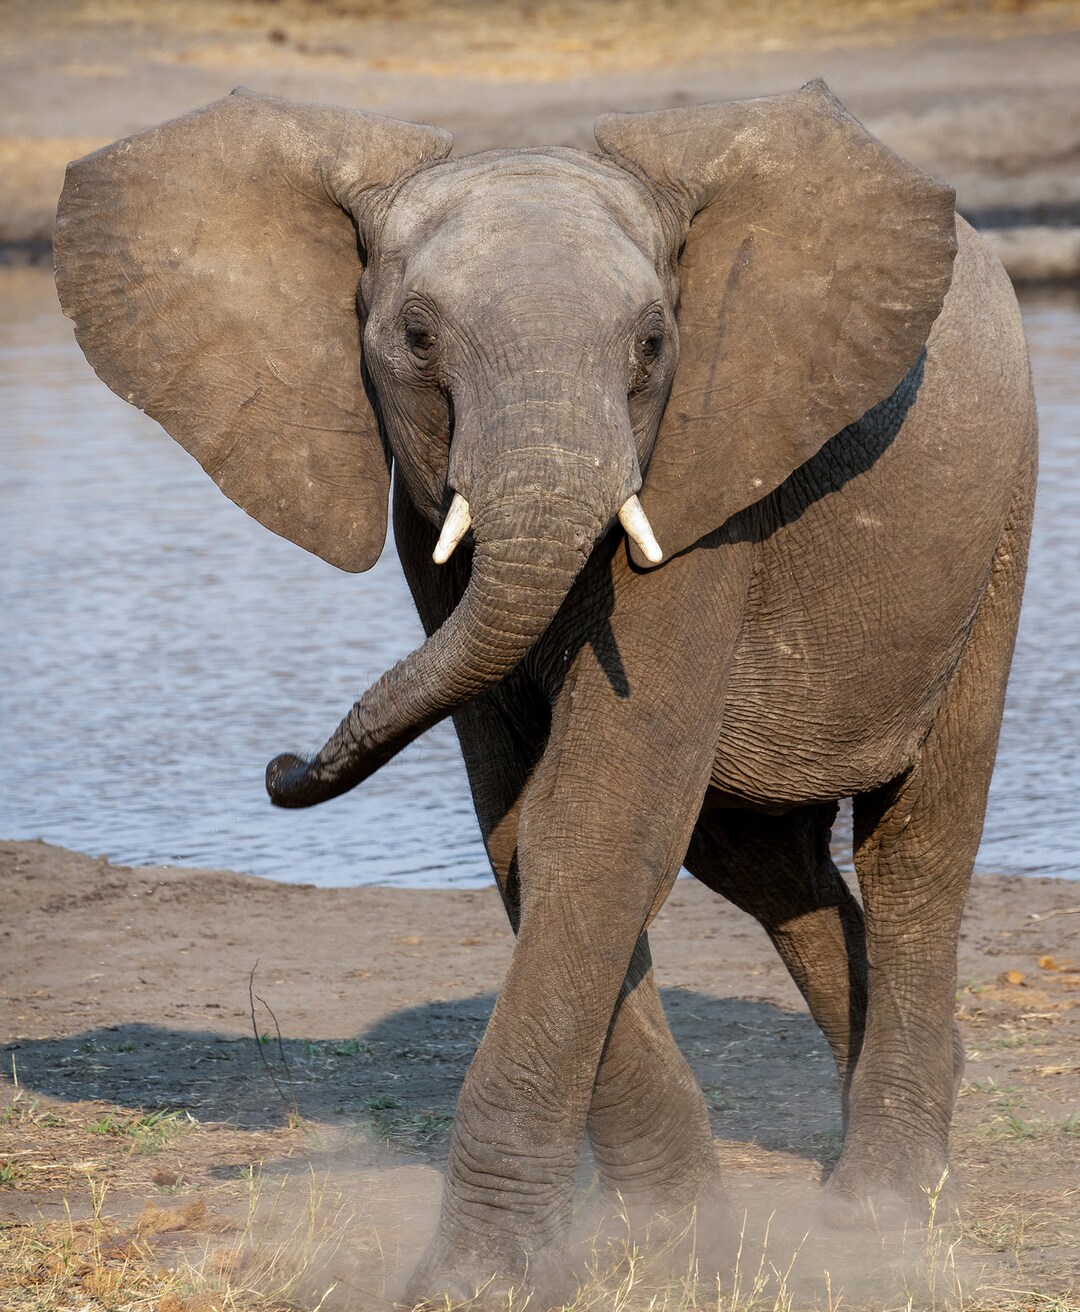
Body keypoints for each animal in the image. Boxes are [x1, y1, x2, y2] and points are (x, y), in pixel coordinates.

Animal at [54, 80, 1036, 1308]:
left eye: (655, 342)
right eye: (417, 336)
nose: (279, 768)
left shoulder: (702, 479)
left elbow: (600, 821)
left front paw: (474, 1283)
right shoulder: (431, 533)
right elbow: (528, 818)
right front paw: (671, 1238)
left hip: (997, 521)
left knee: (917, 843)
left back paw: (881, 1210)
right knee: (762, 860)